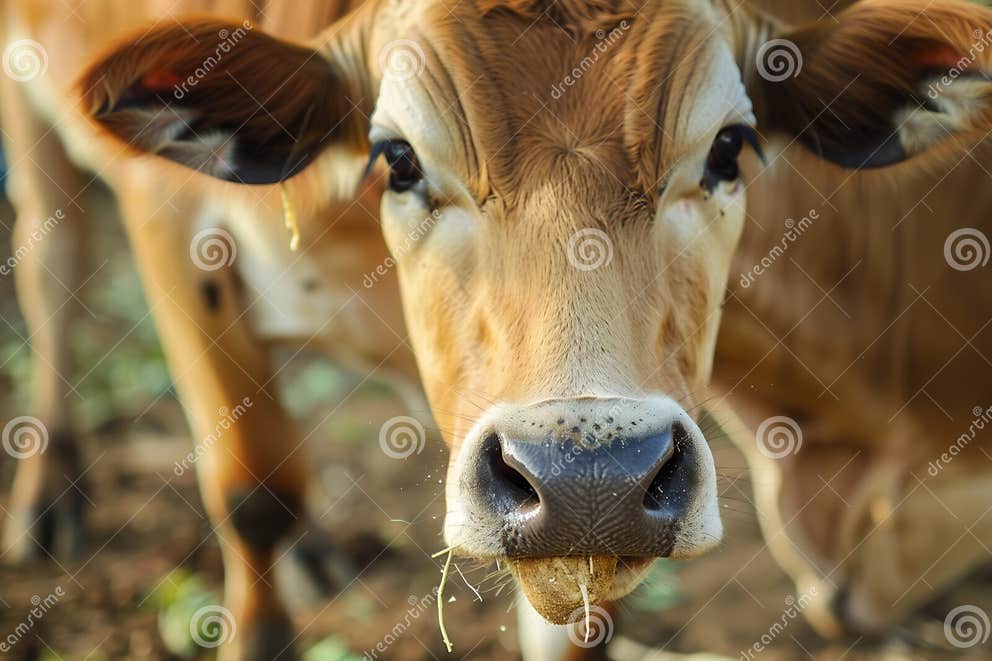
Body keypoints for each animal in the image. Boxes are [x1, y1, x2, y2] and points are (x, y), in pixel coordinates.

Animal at [2, 0, 990, 659]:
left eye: (727, 149)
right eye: (397, 157)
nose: (592, 478)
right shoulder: (170, 222)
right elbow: (255, 495)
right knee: (53, 266)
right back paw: (49, 492)